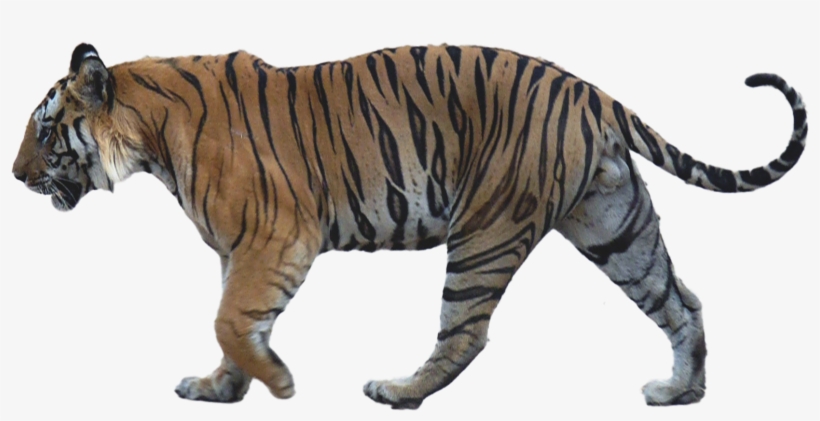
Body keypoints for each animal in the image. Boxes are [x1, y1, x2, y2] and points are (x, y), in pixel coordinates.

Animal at [11, 43, 807, 408]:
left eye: (46, 131)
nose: (16, 176)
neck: (149, 134)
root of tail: (588, 89)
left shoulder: (276, 238)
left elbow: (232, 320)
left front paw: (279, 383)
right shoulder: (239, 250)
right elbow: (230, 324)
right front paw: (220, 388)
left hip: (485, 230)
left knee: (466, 332)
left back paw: (398, 391)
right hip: (615, 225)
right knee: (683, 301)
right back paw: (681, 392)